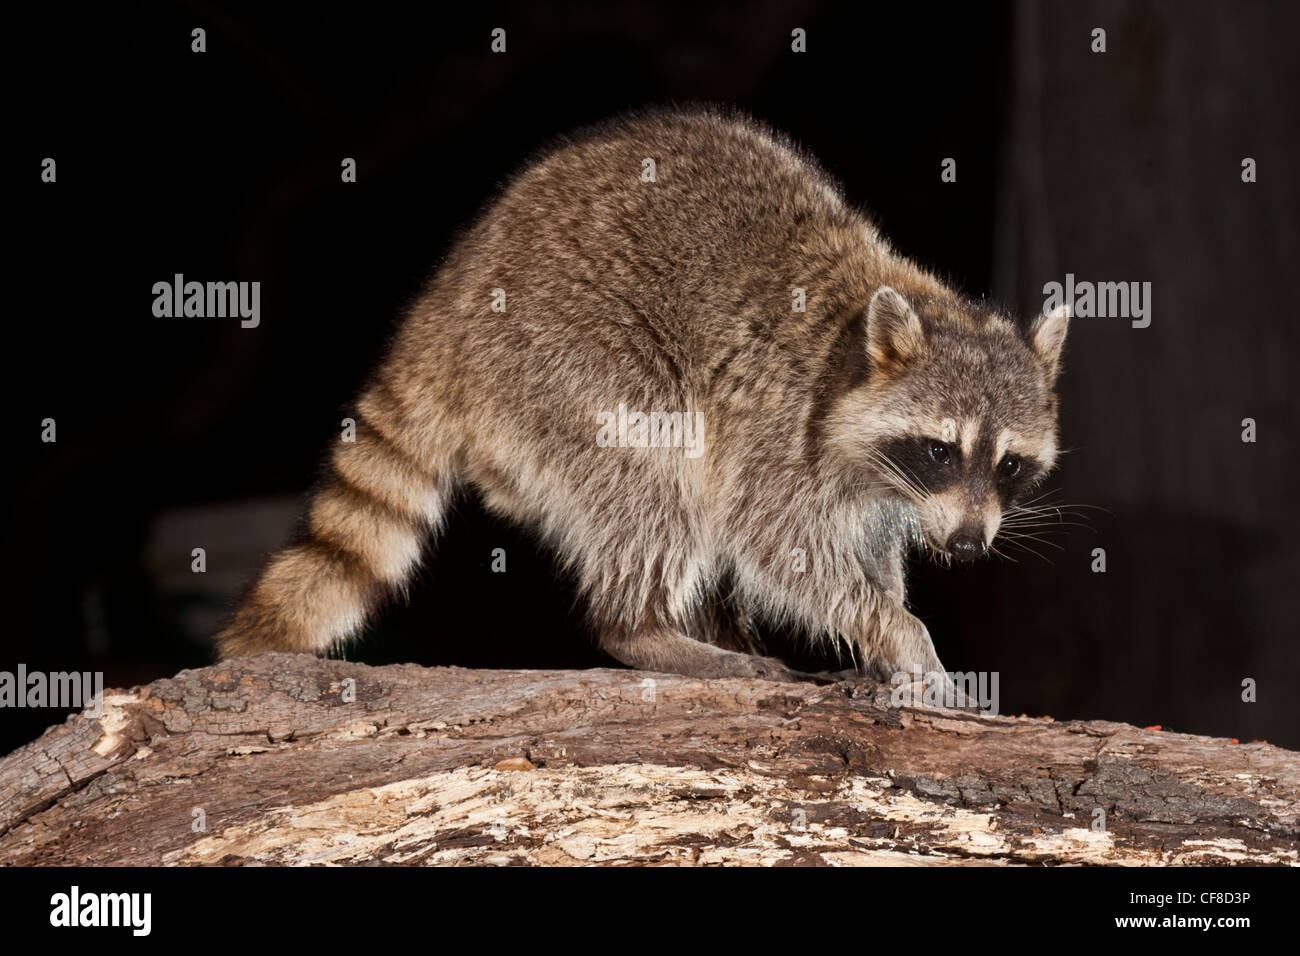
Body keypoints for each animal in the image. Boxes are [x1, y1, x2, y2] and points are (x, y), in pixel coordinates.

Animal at [215, 107, 1069, 687]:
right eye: (940, 449)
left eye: (1010, 465)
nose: (969, 546)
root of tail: (447, 303)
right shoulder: (781, 426)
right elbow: (777, 544)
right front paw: (895, 629)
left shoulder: (886, 488)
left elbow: (869, 547)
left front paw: (883, 621)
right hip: (563, 355)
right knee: (656, 477)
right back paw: (643, 628)